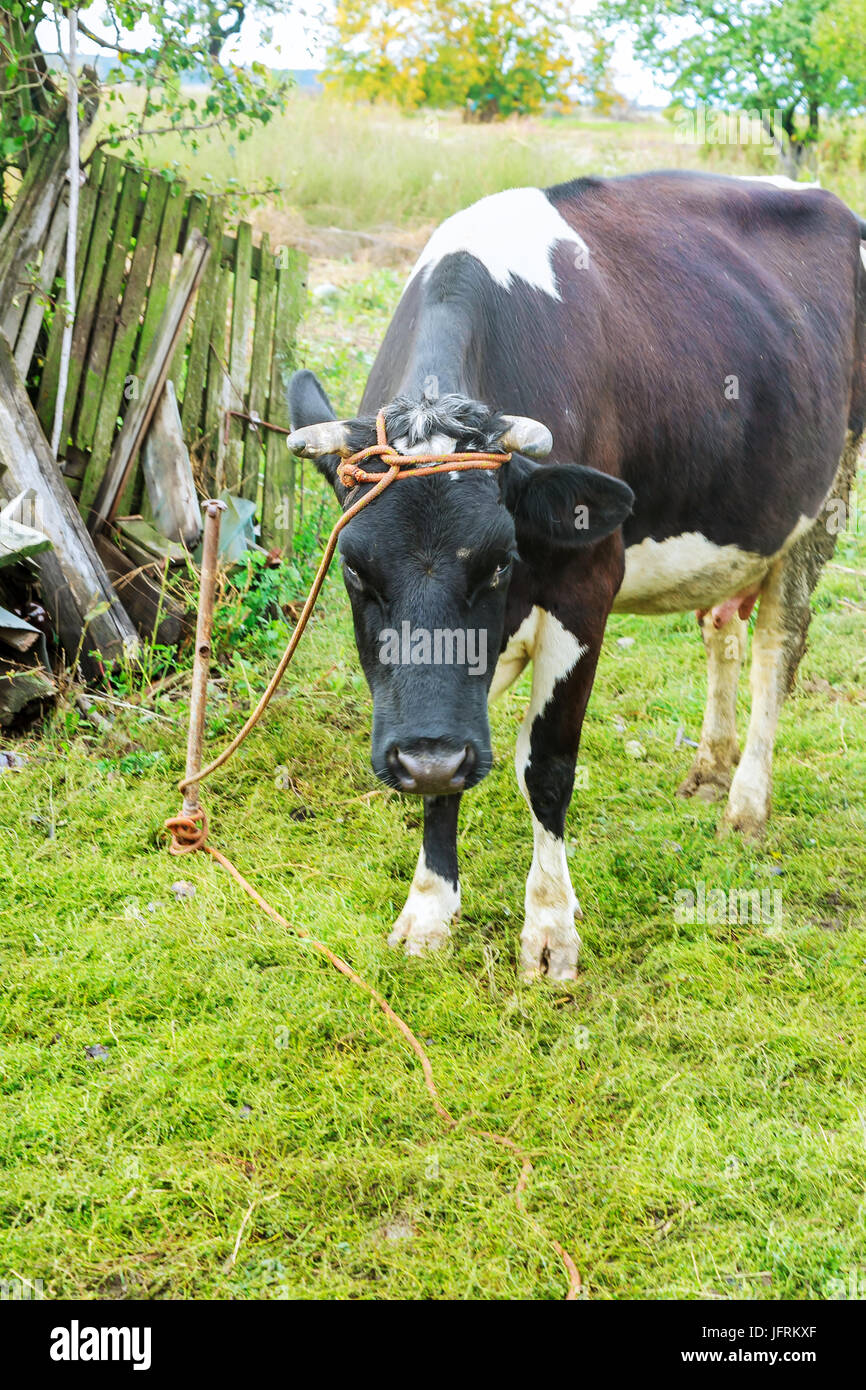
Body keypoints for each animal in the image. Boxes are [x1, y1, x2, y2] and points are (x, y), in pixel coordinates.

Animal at [286, 170, 866, 981]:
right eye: (355, 570)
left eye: (500, 561)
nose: (425, 757)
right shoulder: (443, 702)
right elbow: (448, 762)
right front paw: (428, 911)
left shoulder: (586, 587)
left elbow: (546, 768)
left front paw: (550, 931)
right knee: (721, 626)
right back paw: (710, 769)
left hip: (827, 495)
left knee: (778, 649)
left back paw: (746, 803)